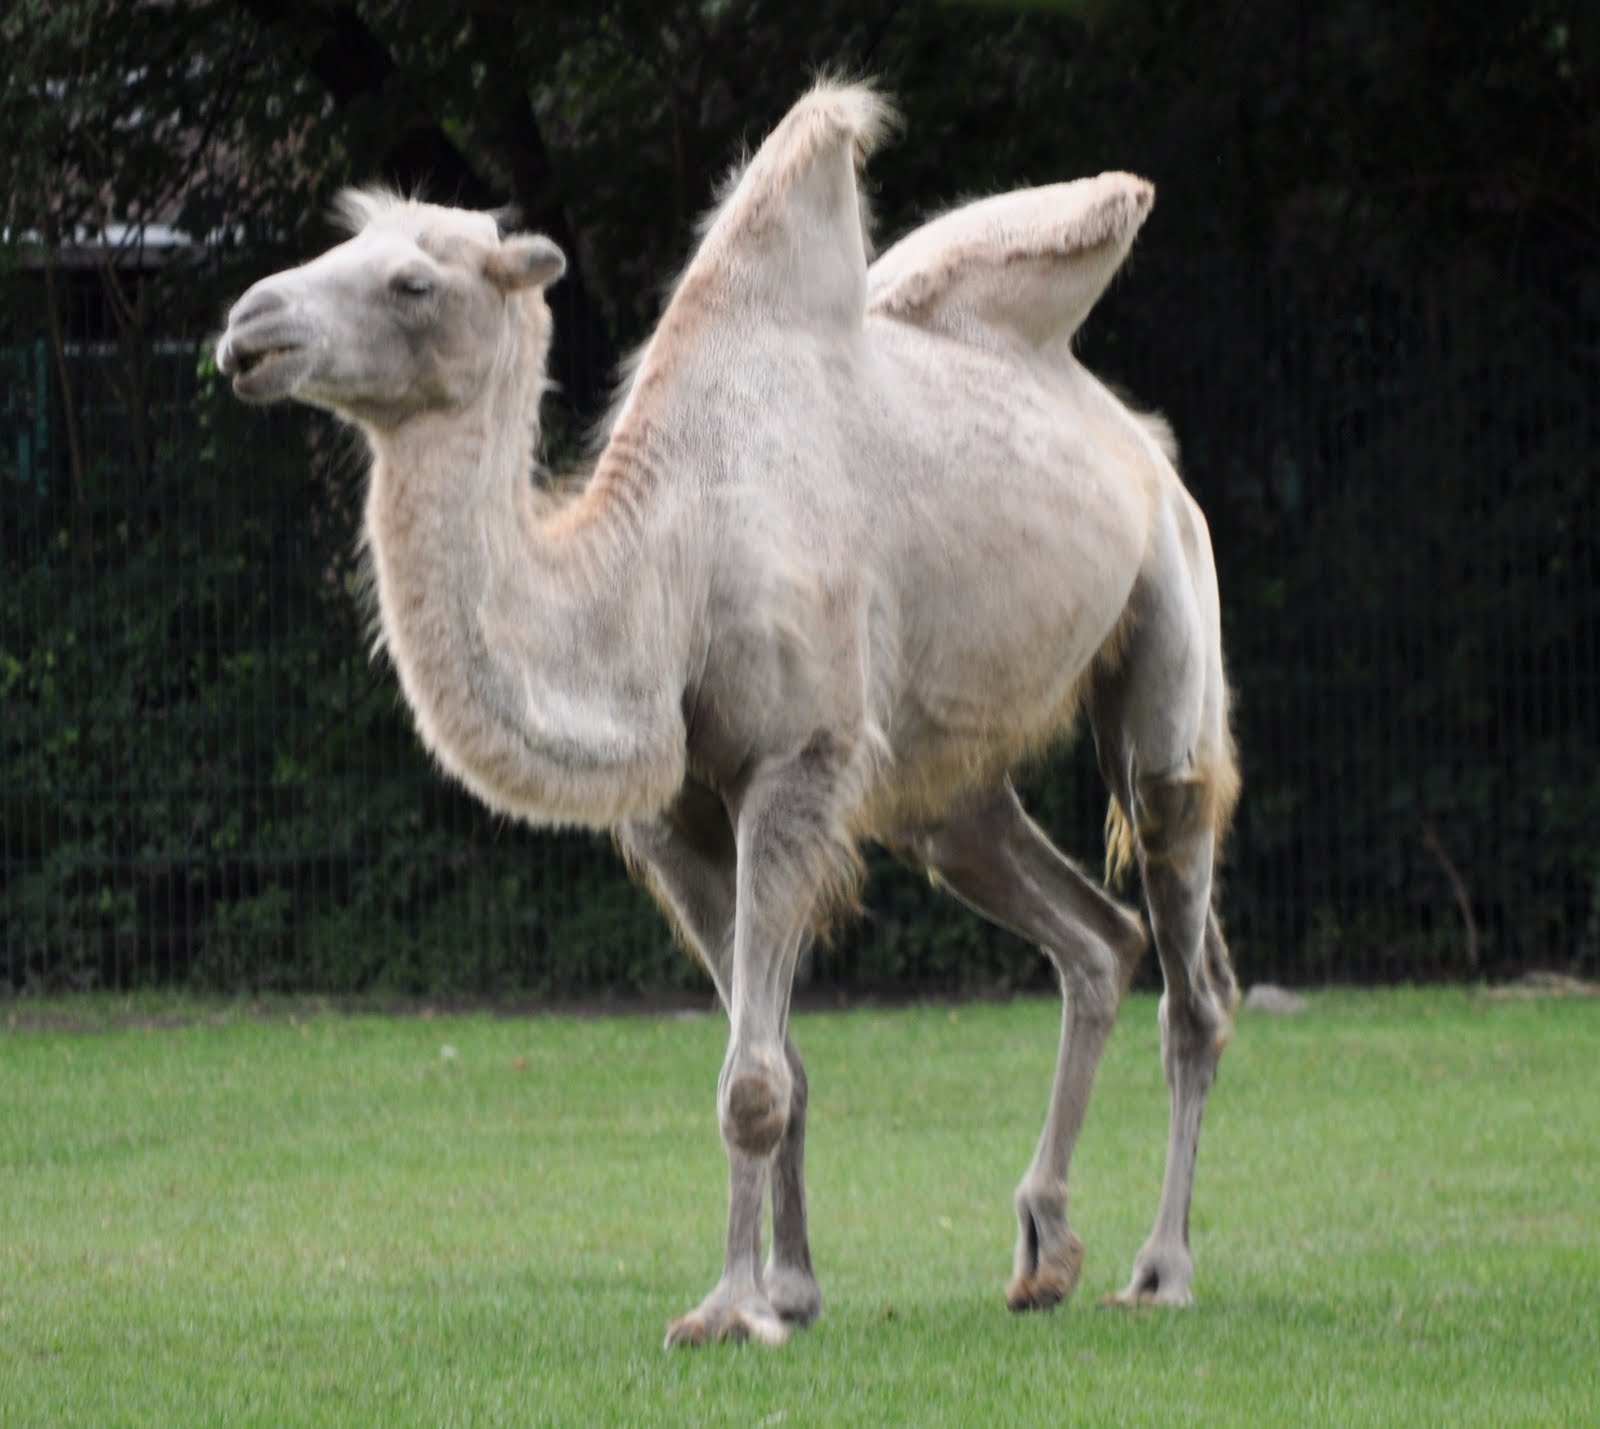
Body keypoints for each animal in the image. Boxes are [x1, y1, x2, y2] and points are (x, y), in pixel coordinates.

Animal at [216, 79, 1240, 1349]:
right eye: (345, 248)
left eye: (413, 281)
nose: (248, 324)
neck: (663, 568)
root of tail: (1139, 441)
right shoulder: (674, 818)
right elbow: (778, 1058)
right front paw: (787, 1289)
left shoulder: (792, 765)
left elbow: (752, 1077)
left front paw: (727, 1311)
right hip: (943, 791)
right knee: (1096, 938)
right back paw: (1043, 1250)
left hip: (1170, 629)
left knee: (1187, 952)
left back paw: (1159, 1268)